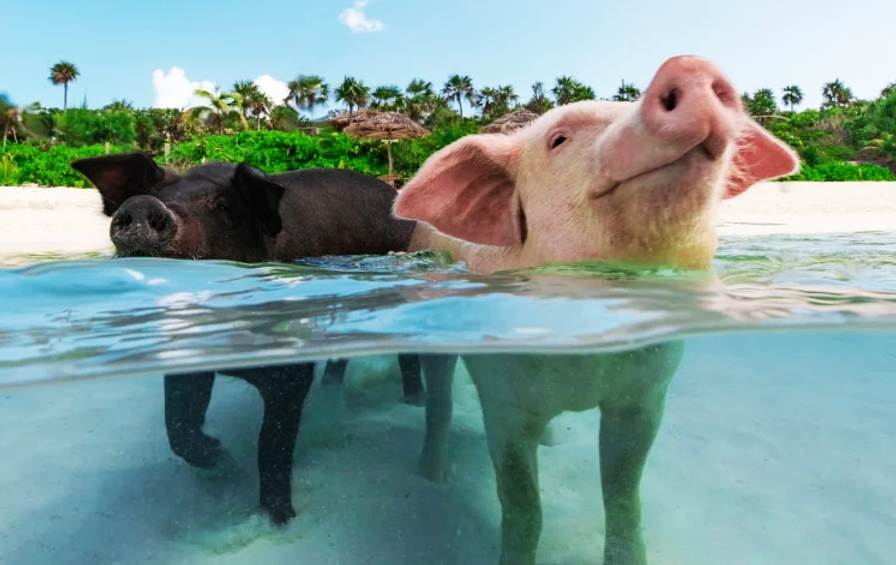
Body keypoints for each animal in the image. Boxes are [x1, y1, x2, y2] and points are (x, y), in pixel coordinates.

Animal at [70, 153, 426, 524]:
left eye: (222, 205)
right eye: (154, 192)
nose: (142, 204)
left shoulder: (290, 368)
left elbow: (271, 444)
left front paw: (279, 518)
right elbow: (178, 426)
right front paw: (223, 459)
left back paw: (414, 401)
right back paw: (331, 388)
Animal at [394, 55, 800, 565]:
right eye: (558, 139)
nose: (688, 63)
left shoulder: (645, 395)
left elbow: (624, 495)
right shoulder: (503, 401)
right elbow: (523, 504)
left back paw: (552, 442)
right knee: (440, 400)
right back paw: (431, 475)